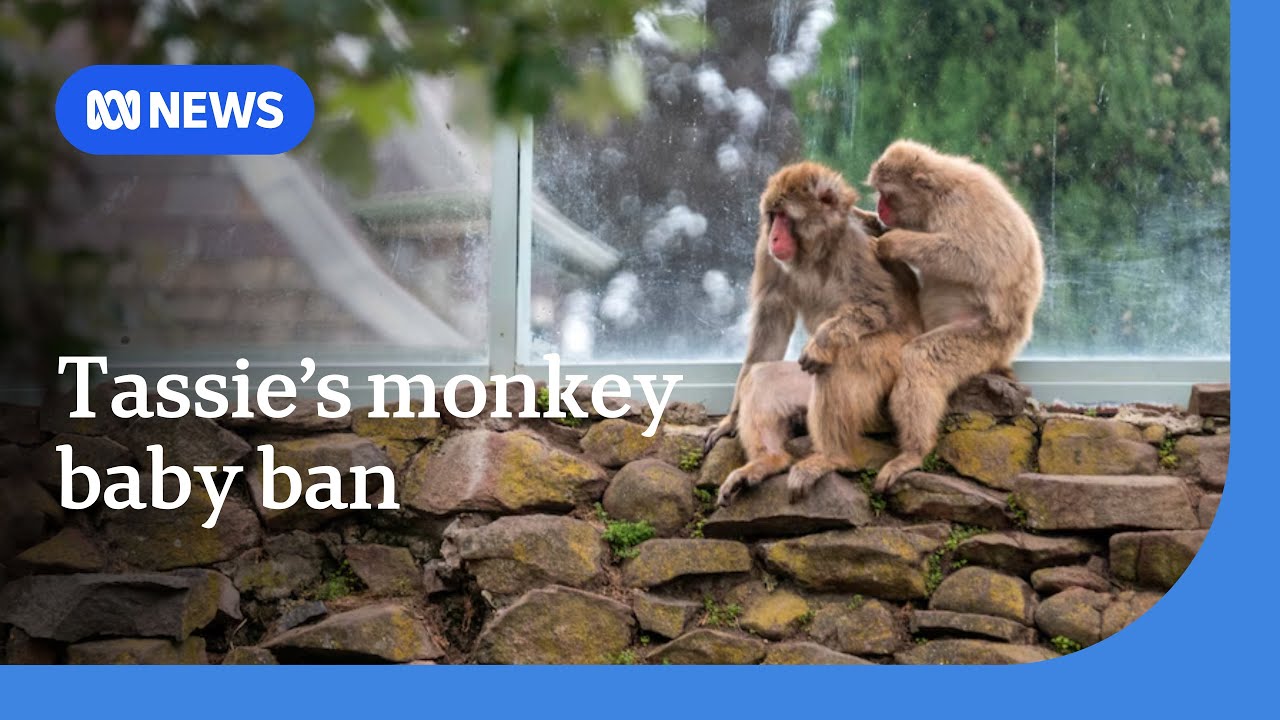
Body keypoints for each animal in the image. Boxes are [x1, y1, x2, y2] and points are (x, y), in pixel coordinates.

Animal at [710, 162, 923, 506]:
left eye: (785, 217)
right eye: (773, 215)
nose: (774, 235)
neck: (816, 251)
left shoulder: (858, 247)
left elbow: (880, 307)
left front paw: (822, 342)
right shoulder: (767, 254)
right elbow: (771, 321)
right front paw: (730, 419)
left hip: (892, 357)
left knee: (841, 363)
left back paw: (831, 458)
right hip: (803, 392)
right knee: (763, 378)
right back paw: (768, 461)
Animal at [866, 139, 1045, 493]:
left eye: (888, 195)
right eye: (879, 194)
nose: (880, 208)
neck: (937, 196)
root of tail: (1009, 347)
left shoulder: (960, 205)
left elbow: (973, 257)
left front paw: (894, 243)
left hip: (983, 339)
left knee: (920, 359)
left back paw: (914, 451)